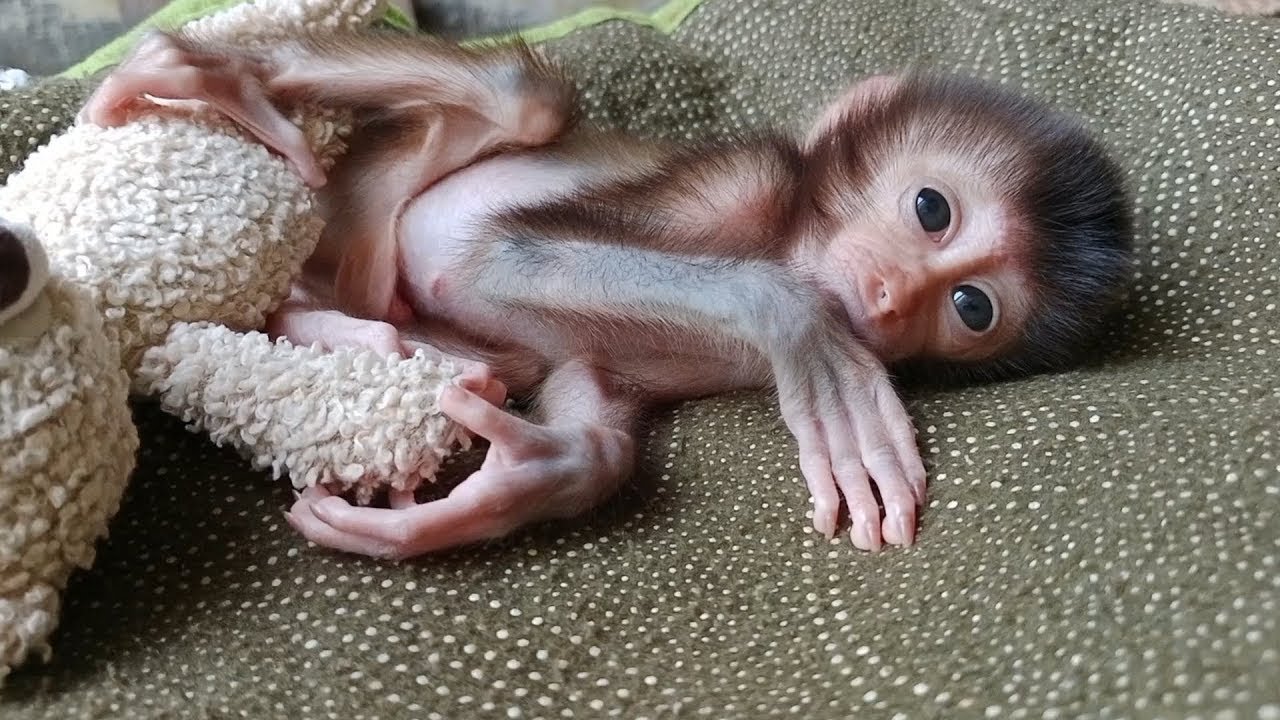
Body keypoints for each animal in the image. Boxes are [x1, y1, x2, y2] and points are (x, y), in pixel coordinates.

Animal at [79, 30, 1133, 559]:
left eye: (972, 308)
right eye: (930, 208)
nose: (887, 295)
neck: (792, 227)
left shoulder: (609, 365)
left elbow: (596, 431)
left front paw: (503, 488)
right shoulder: (738, 187)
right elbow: (487, 262)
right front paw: (805, 327)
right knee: (524, 93)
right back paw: (230, 78)